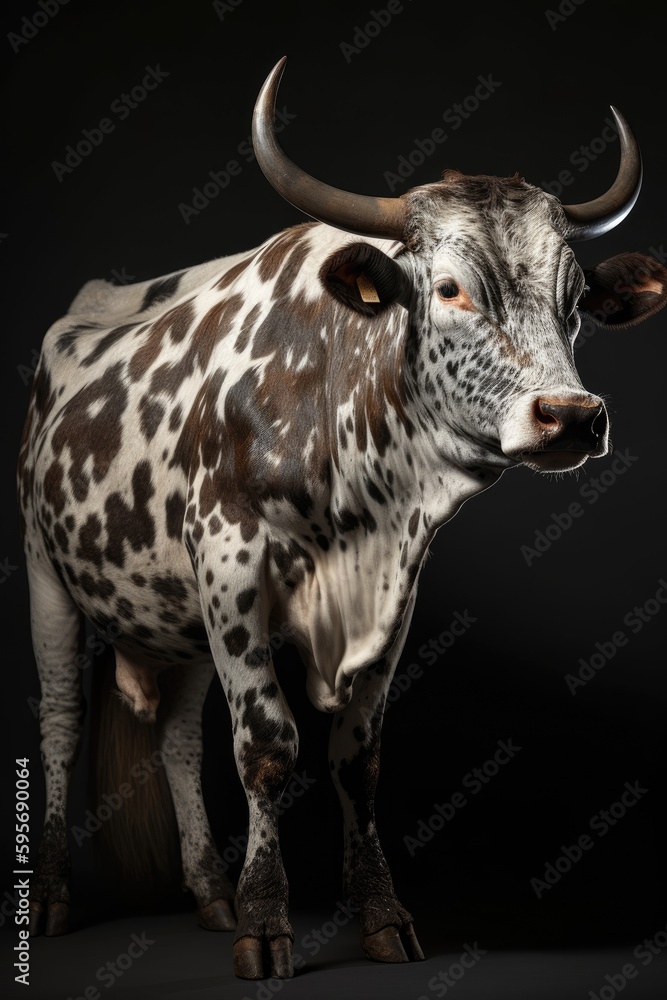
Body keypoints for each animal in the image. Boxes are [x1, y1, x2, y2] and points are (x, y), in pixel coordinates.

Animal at [17, 56, 667, 981]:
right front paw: (266, 921)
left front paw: (379, 914)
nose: (571, 416)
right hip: (46, 572)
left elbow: (355, 761)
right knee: (62, 723)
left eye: (575, 298)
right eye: (449, 288)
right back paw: (56, 899)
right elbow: (266, 747)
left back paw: (208, 890)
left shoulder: (394, 594)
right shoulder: (230, 563)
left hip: (175, 613)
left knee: (175, 738)